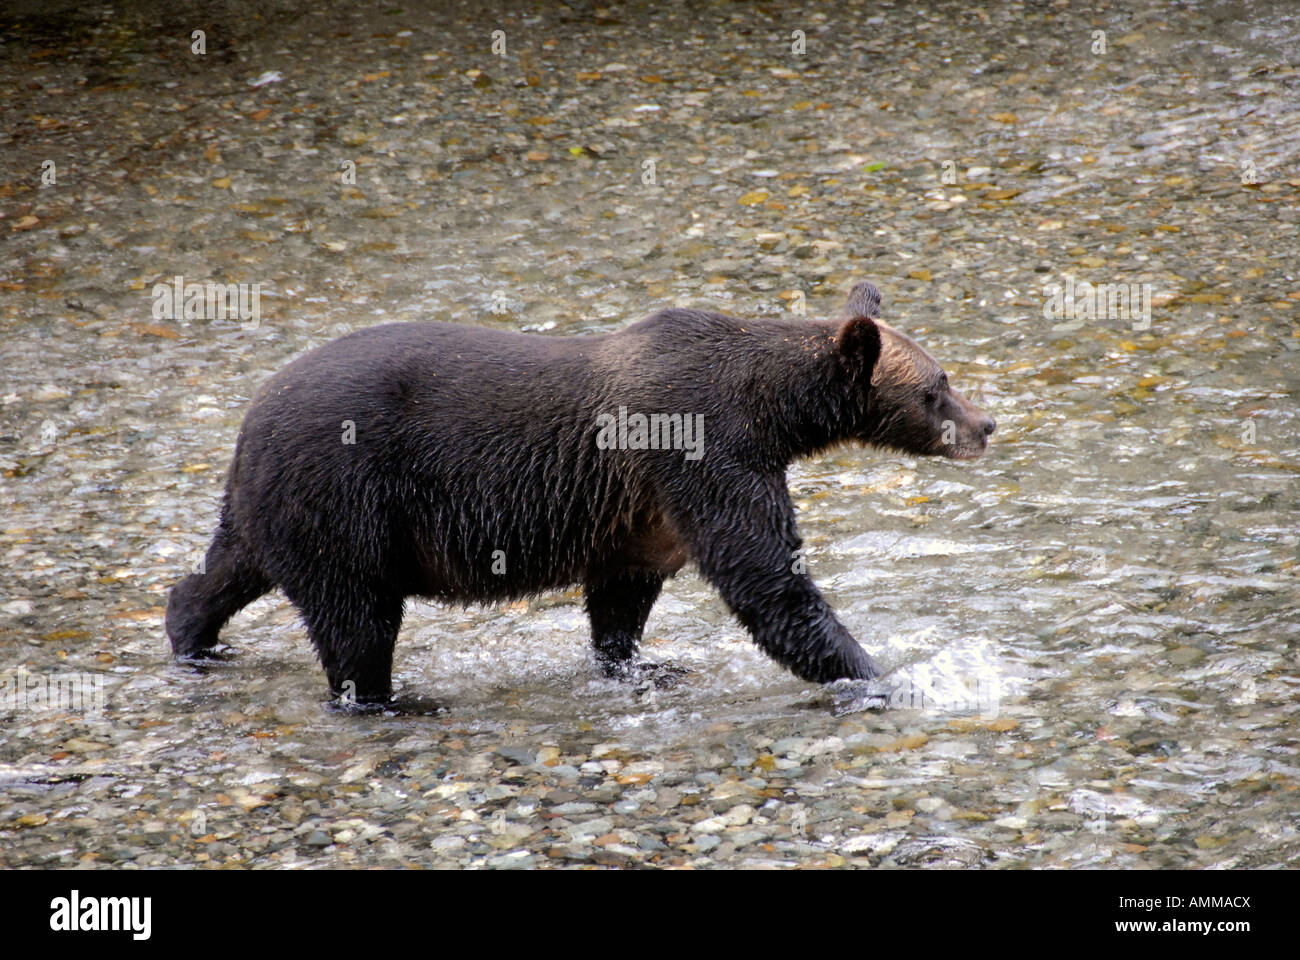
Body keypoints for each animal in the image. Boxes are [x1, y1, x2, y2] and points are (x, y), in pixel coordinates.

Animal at [166, 281, 995, 707]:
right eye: (936, 387)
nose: (984, 424)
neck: (770, 412)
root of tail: (252, 413)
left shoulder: (640, 511)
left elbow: (623, 595)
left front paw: (640, 664)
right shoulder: (702, 450)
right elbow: (765, 574)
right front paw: (881, 671)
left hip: (276, 502)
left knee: (228, 568)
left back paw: (194, 635)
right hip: (347, 493)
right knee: (355, 618)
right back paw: (384, 695)